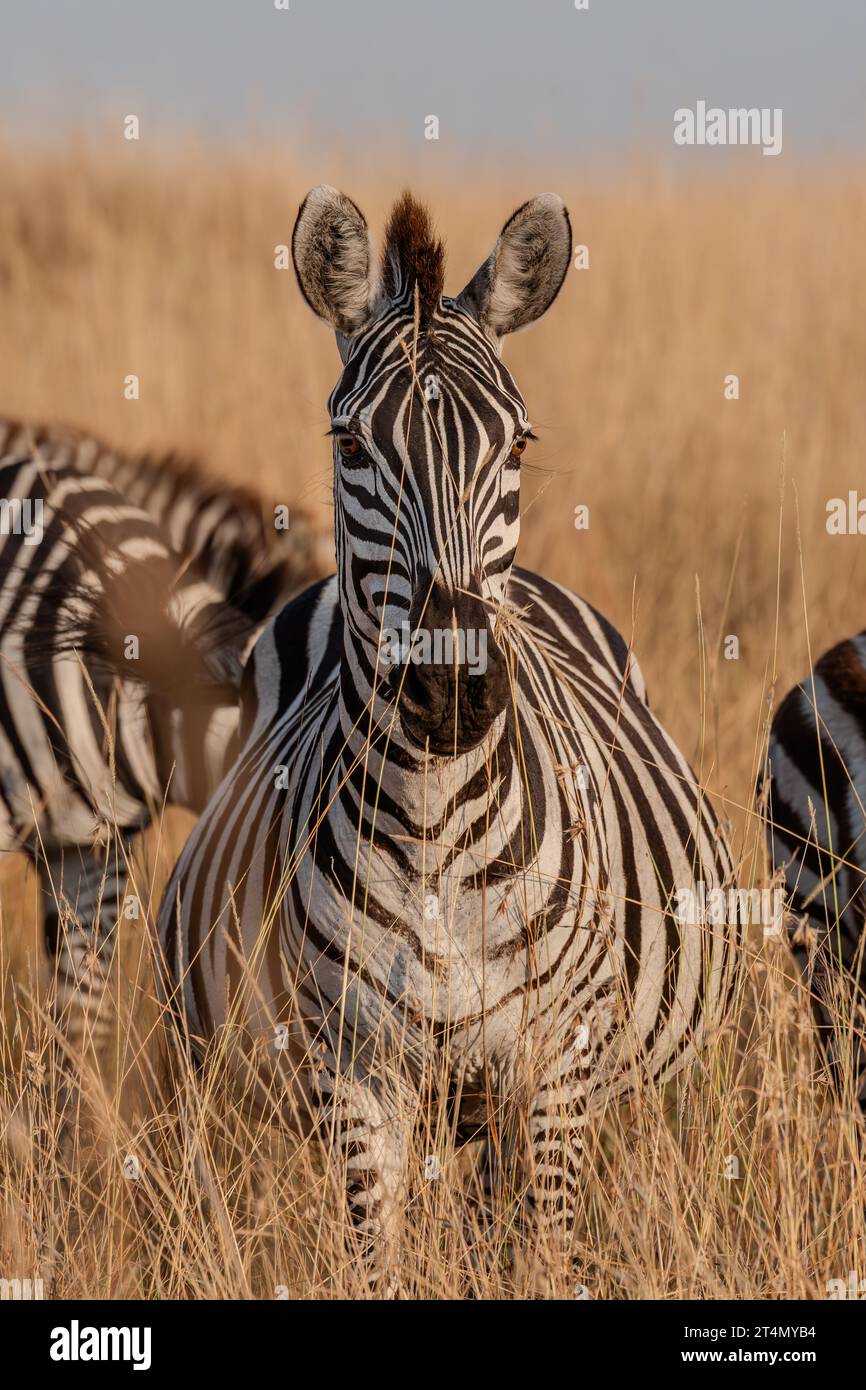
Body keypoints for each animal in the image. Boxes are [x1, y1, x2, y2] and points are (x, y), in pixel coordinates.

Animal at [158, 187, 737, 1291]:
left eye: (516, 447)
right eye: (349, 447)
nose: (452, 686)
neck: (433, 832)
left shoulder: (554, 1069)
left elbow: (546, 1258)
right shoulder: (354, 1073)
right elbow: (374, 1263)